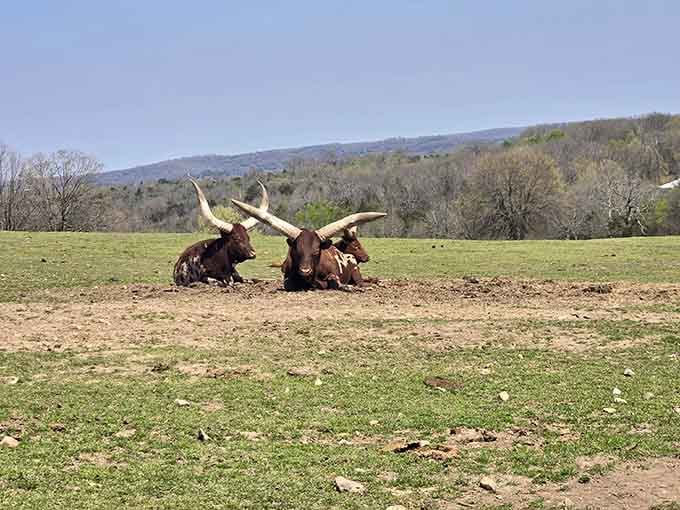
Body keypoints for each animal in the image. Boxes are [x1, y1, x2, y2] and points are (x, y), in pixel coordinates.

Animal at [230, 198, 386, 291]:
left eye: (316, 251)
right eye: (296, 250)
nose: (305, 270)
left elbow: (332, 281)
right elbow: (289, 283)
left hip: (356, 273)